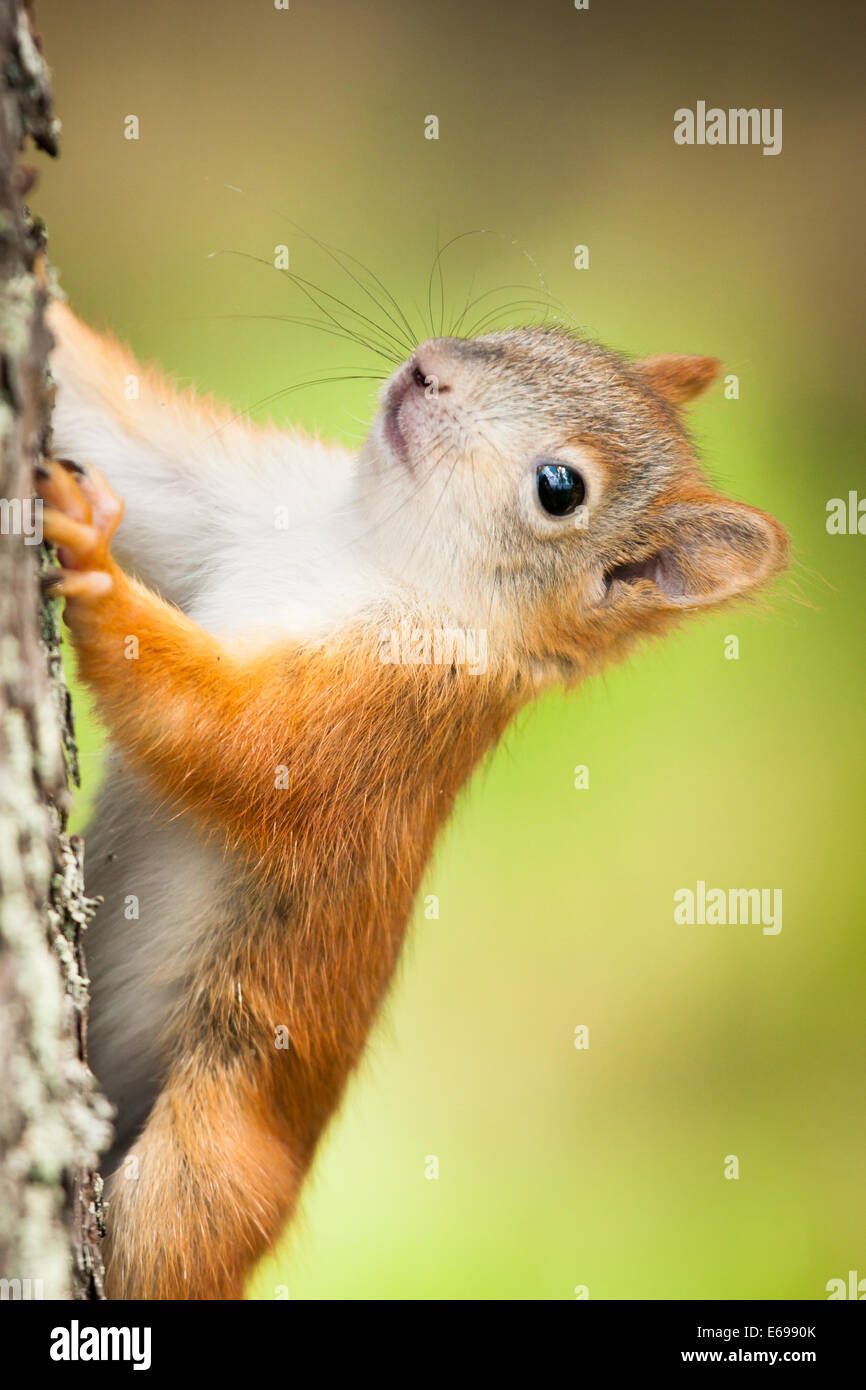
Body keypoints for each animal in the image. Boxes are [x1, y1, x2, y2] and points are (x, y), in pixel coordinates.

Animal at [36, 299, 788, 1299]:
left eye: (560, 489)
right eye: (530, 332)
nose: (430, 370)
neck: (375, 544)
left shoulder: (384, 715)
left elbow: (231, 736)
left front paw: (91, 558)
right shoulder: (237, 498)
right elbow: (128, 435)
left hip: (209, 1171)